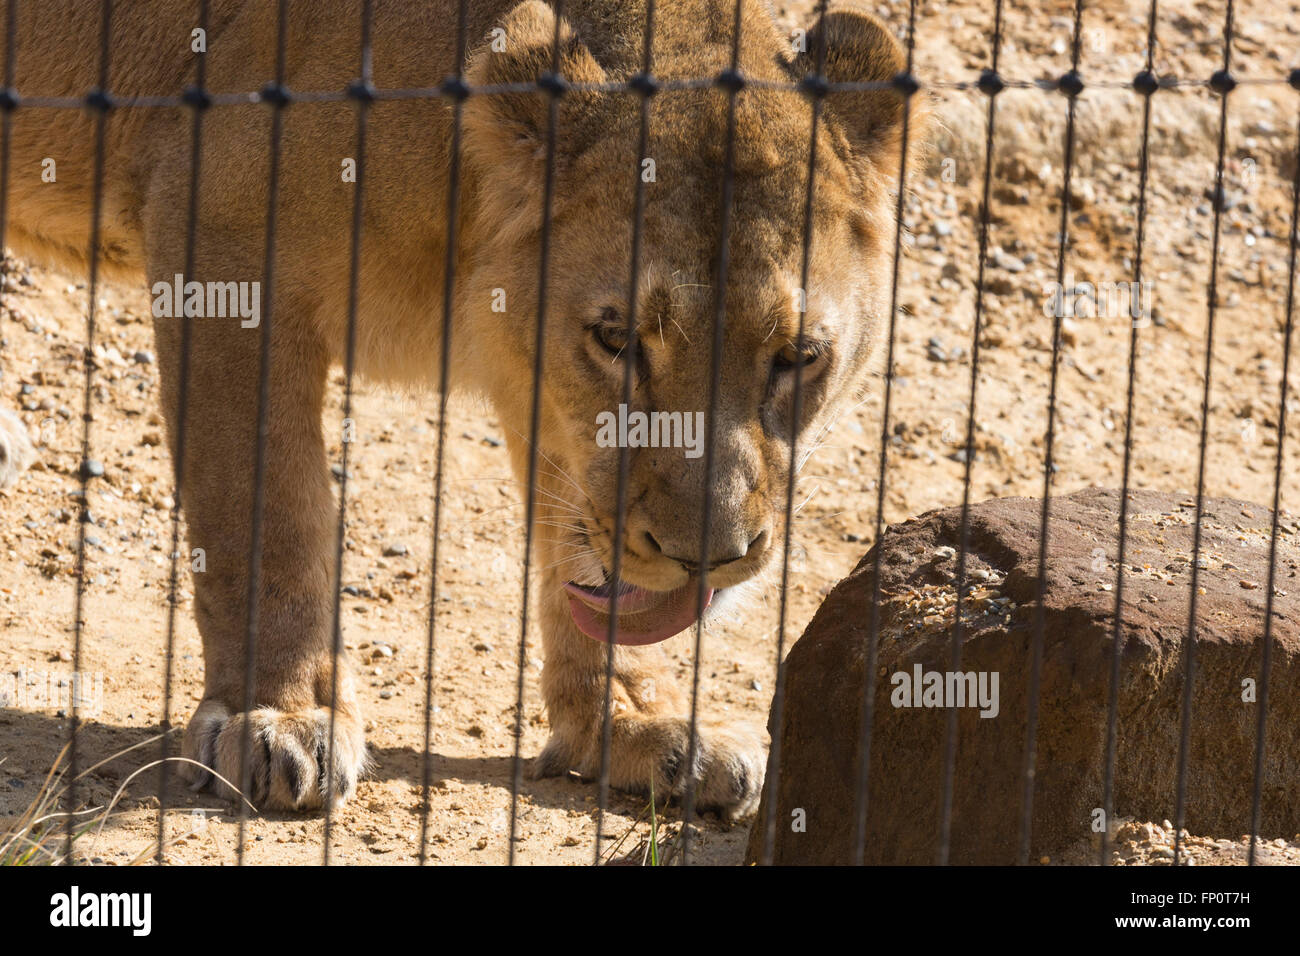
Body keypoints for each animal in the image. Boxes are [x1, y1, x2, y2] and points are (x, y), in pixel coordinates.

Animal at [2, 0, 916, 819]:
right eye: (617, 339)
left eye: (799, 358)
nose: (708, 558)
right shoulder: (220, 239)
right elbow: (265, 515)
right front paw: (285, 716)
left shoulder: (546, 397)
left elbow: (581, 562)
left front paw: (635, 728)